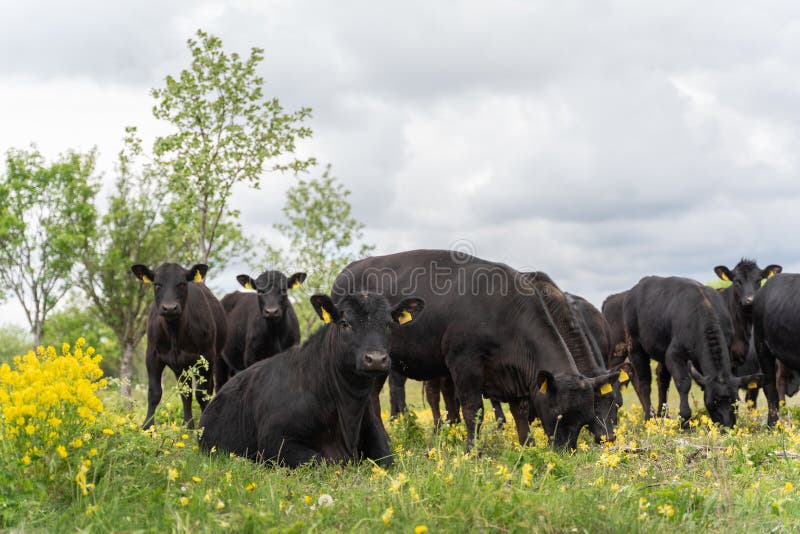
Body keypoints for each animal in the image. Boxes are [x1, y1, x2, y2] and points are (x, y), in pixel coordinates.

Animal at [131, 263, 227, 429]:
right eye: (157, 284)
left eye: (182, 284)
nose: (169, 308)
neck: (174, 333)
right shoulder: (152, 355)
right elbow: (154, 392)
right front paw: (147, 427)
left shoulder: (206, 355)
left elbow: (202, 394)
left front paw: (202, 429)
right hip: (181, 367)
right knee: (185, 392)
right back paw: (188, 425)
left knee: (207, 391)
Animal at [198, 292, 424, 467]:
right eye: (345, 323)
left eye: (388, 325)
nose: (376, 359)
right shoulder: (274, 440)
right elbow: (322, 462)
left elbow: (387, 461)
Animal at [333, 249, 621, 450]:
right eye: (559, 414)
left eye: (583, 418)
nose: (566, 451)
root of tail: (349, 269)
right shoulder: (464, 364)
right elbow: (473, 410)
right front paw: (473, 451)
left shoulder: (514, 377)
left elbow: (519, 412)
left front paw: (527, 447)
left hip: (380, 363)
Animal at [624, 276, 761, 427]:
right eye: (711, 402)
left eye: (735, 402)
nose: (726, 425)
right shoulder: (674, 355)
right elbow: (684, 383)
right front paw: (684, 419)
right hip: (634, 345)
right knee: (644, 382)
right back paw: (650, 418)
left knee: (662, 379)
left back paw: (664, 416)